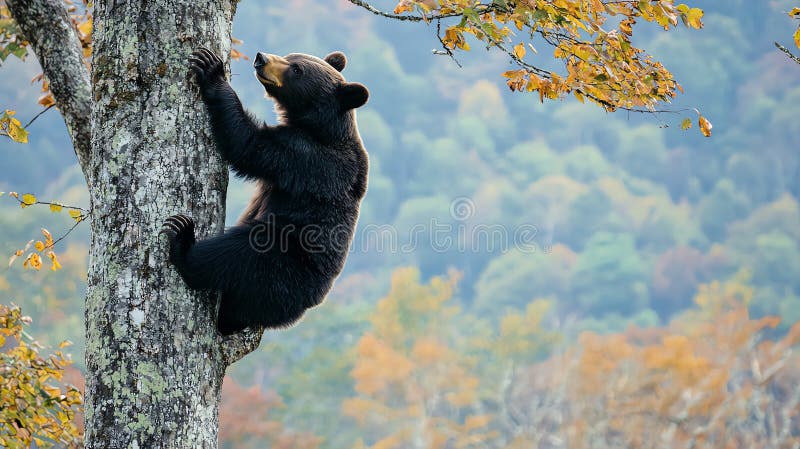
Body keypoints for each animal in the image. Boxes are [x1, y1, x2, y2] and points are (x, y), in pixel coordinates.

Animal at [161, 48, 369, 335]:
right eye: (292, 55)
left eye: (296, 70)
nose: (261, 58)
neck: (321, 129)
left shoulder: (307, 159)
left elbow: (247, 144)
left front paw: (211, 70)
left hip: (278, 260)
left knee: (230, 255)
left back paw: (183, 240)